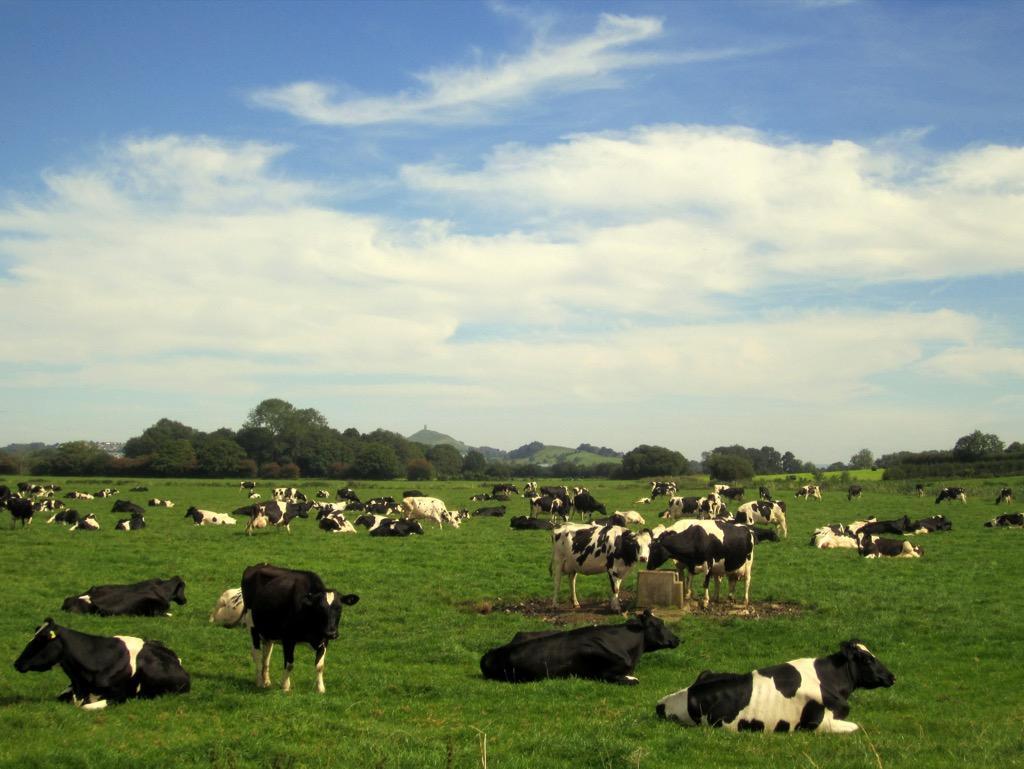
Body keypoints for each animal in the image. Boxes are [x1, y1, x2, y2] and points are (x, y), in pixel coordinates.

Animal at [241, 563, 359, 693]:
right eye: (320, 608)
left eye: (339, 608)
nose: (331, 633)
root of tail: (256, 566)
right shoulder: (288, 639)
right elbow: (289, 664)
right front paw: (285, 686)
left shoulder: (324, 640)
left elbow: (320, 666)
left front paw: (320, 688)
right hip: (252, 625)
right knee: (256, 654)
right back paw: (258, 682)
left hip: (268, 631)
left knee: (266, 655)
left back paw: (266, 681)